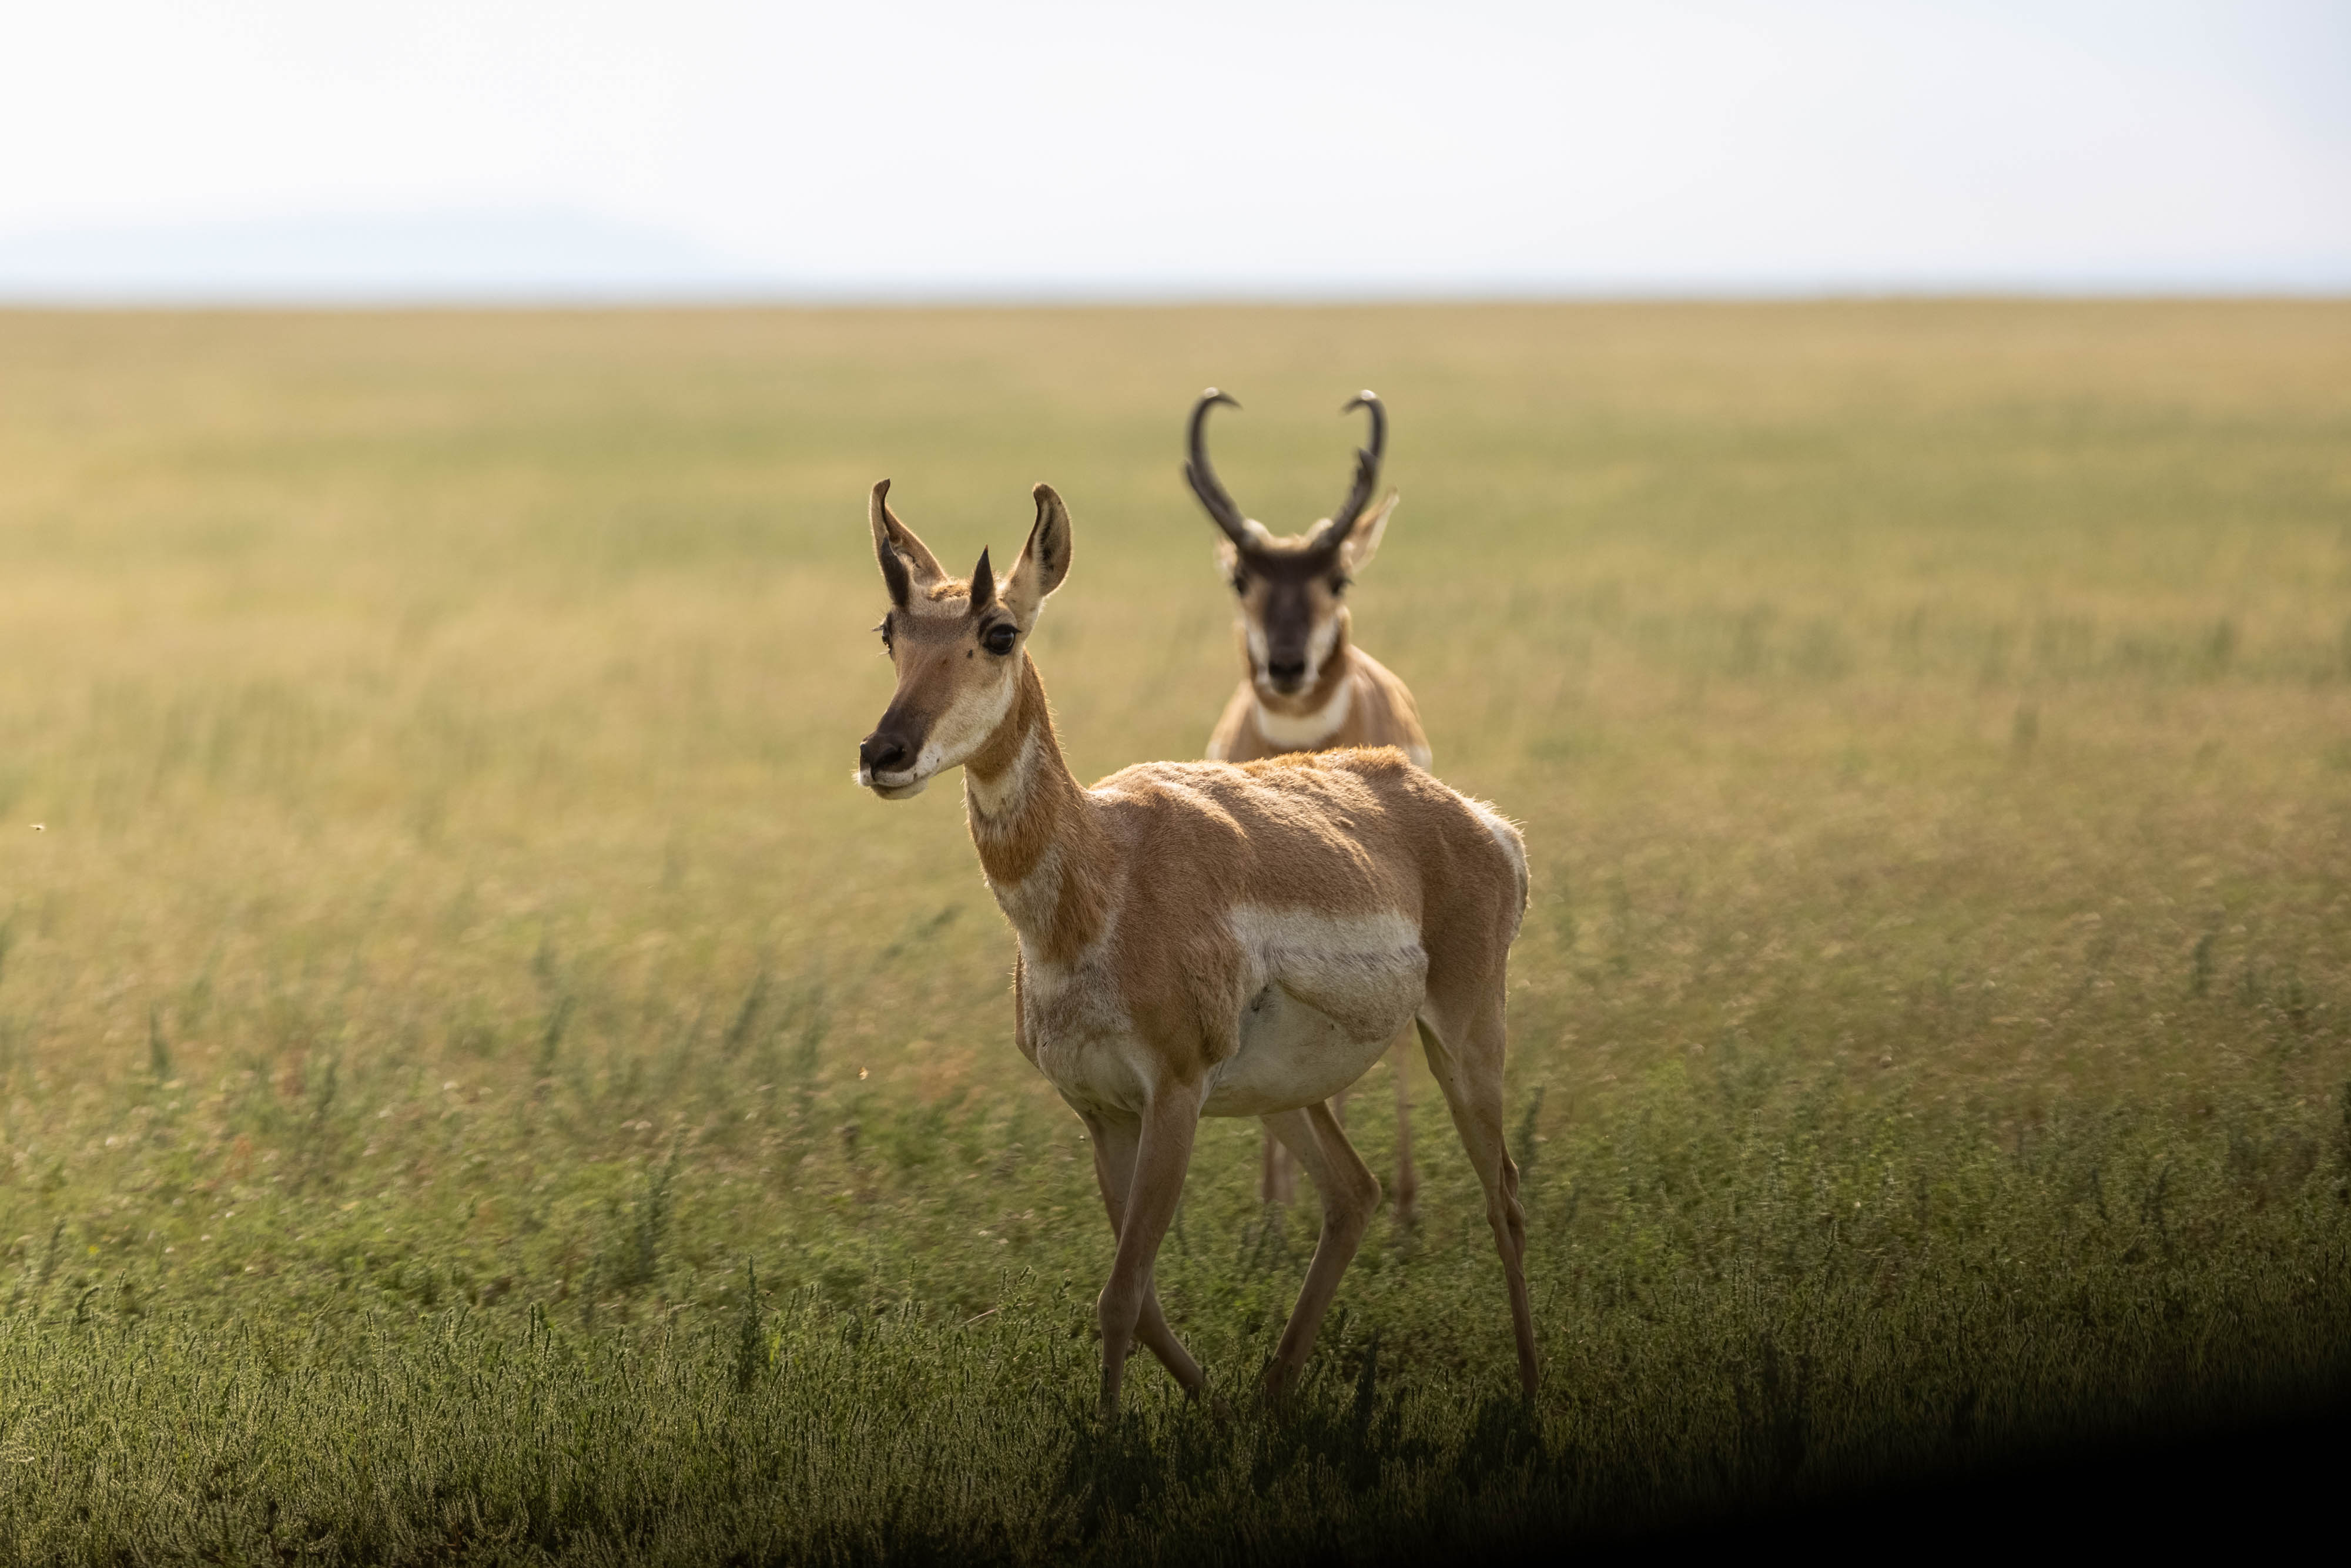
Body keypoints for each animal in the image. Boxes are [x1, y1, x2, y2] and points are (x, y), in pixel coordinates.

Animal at [855, 478, 1536, 1413]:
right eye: (891, 630)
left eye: (998, 632)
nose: (883, 752)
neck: (1106, 871)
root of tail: (1480, 820)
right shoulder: (1101, 1112)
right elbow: (1136, 1297)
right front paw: (1206, 1403)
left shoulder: (1173, 1096)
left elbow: (1119, 1297)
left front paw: (1115, 1434)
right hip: (1282, 1094)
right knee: (1351, 1193)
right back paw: (1270, 1397)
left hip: (1463, 1040)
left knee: (1502, 1196)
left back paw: (1532, 1399)